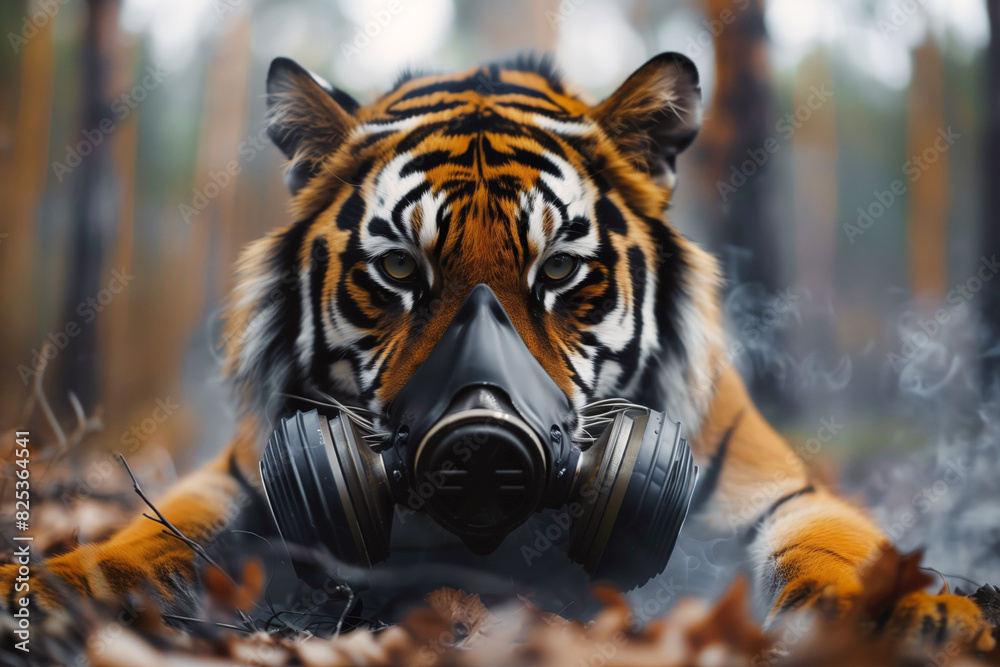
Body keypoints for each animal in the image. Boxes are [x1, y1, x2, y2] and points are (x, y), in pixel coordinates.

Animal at [1, 52, 993, 652]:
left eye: (559, 270)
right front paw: (52, 588)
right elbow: (142, 540)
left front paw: (916, 618)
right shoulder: (240, 477)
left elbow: (839, 552)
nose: (479, 429)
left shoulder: (778, 490)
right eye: (400, 267)